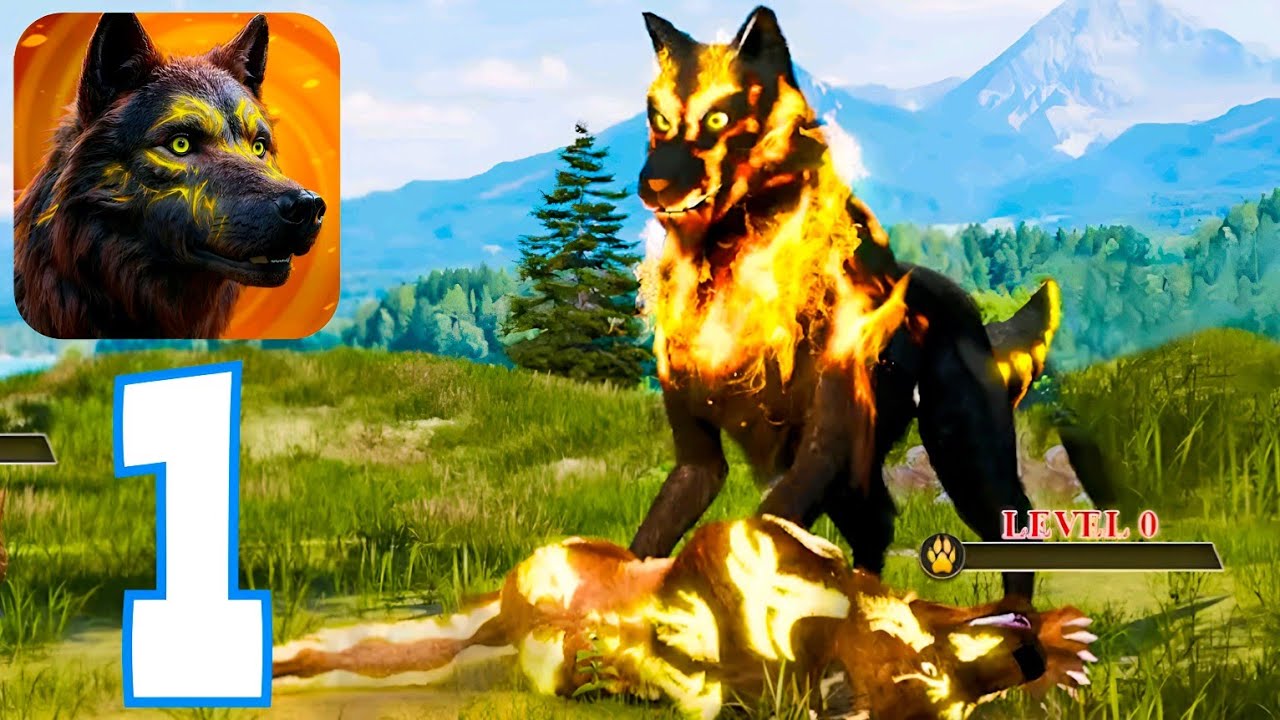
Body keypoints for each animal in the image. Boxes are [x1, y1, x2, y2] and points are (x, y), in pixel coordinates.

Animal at [627, 6, 1115, 608]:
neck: (731, 276)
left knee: (1014, 526)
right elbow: (648, 543)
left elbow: (757, 533)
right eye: (658, 117)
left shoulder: (822, 447)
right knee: (878, 525)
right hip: (859, 475)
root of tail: (967, 307)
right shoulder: (701, 460)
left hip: (962, 455)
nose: (651, 184)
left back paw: (1016, 624)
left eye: (719, 118)